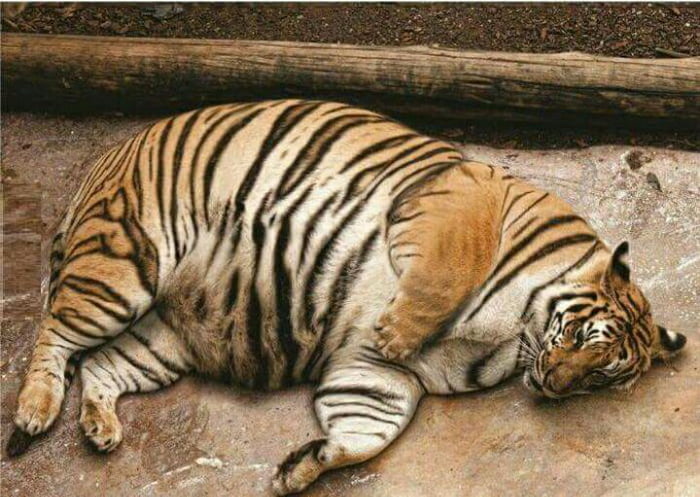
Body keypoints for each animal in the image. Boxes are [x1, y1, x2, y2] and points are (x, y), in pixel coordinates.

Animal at [8, 99, 686, 495]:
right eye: (580, 337)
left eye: (602, 376)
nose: (555, 386)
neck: (517, 337)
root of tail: (106, 159)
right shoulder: (458, 198)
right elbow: (447, 270)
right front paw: (399, 328)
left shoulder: (382, 376)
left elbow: (369, 429)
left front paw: (301, 466)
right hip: (124, 268)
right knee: (53, 334)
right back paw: (34, 411)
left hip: (162, 338)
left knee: (99, 366)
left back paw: (99, 428)